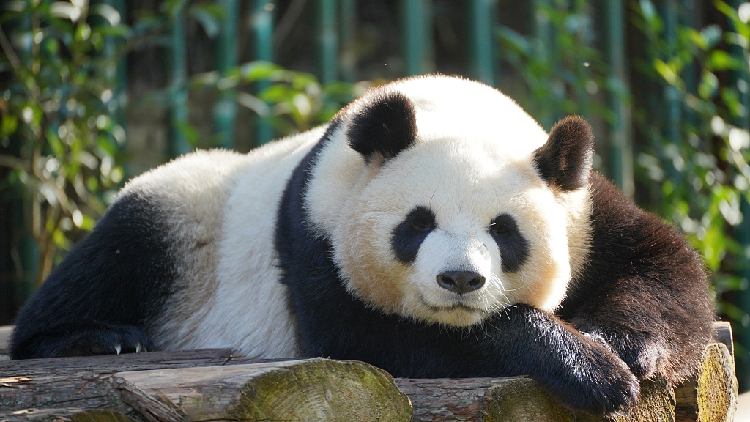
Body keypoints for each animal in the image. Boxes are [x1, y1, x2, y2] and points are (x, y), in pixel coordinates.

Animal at [11, 75, 714, 415]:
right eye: (417, 224)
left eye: (504, 230)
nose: (460, 281)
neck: (446, 106)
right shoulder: (314, 231)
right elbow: (371, 339)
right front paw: (586, 368)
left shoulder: (582, 209)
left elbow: (663, 266)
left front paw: (619, 344)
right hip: (190, 212)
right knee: (117, 254)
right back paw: (96, 337)